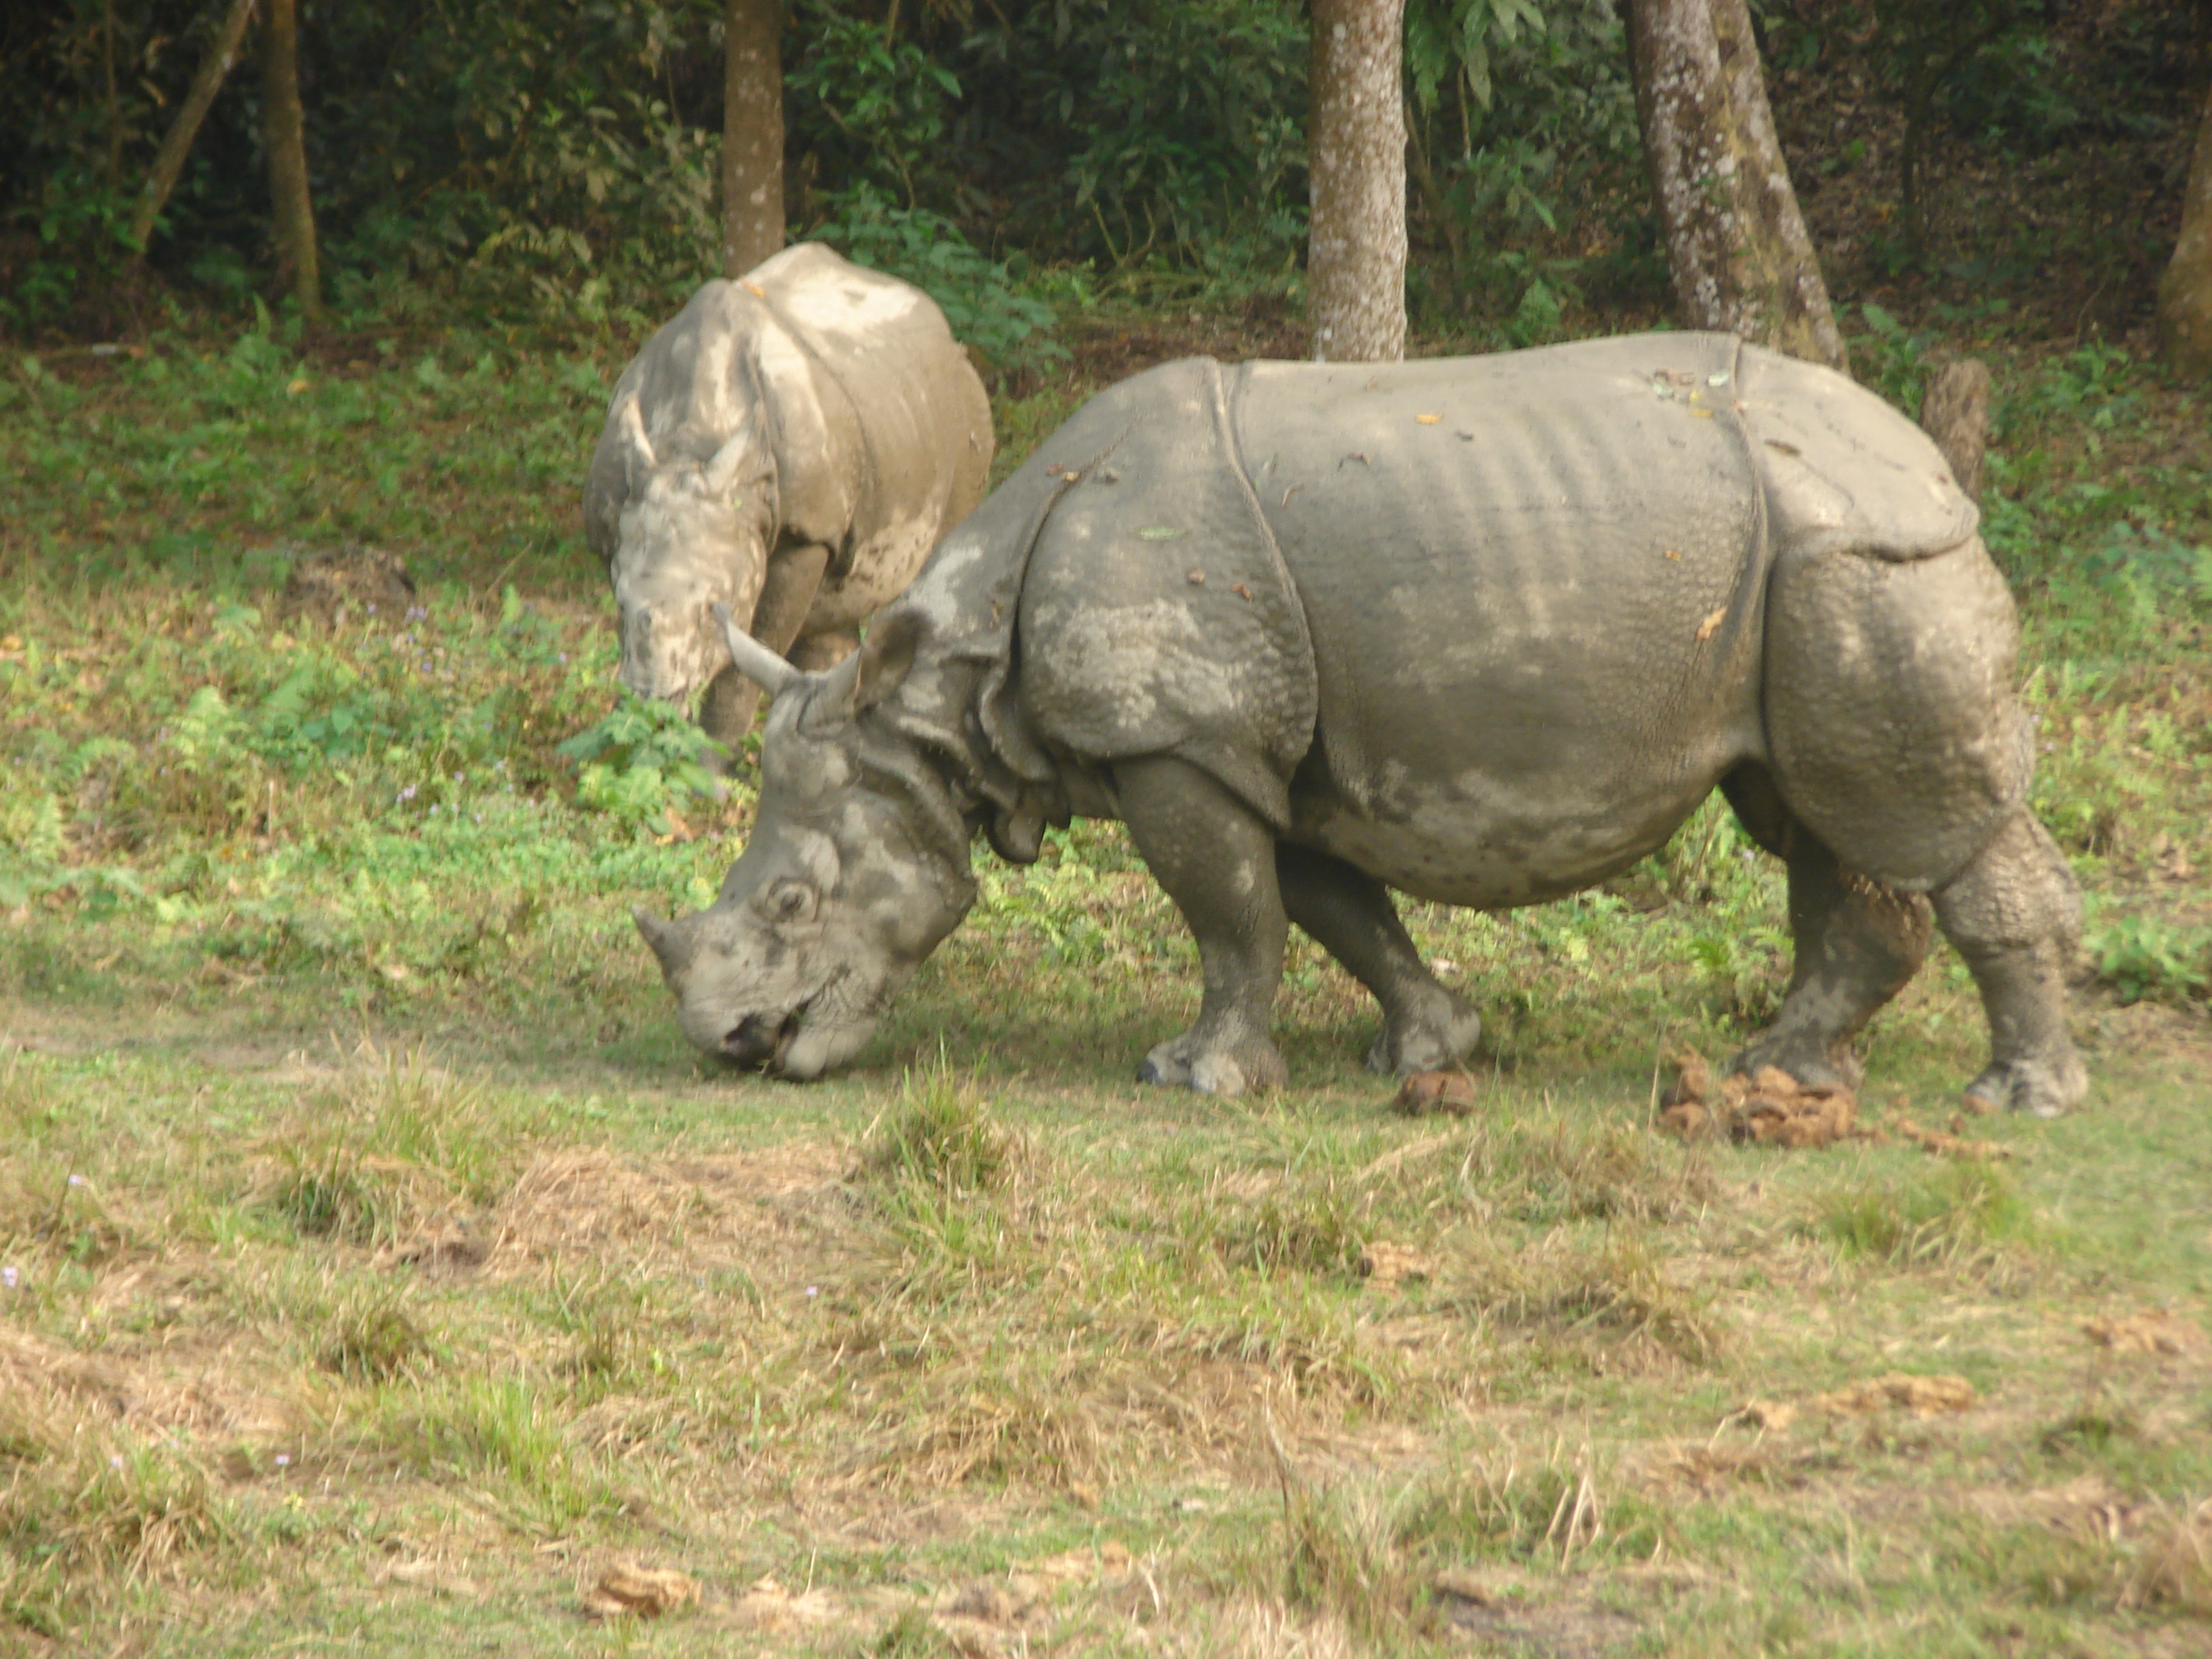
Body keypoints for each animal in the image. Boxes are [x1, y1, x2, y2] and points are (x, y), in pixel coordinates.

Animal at [584, 242, 993, 746]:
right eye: (620, 606)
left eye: (710, 609)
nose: (653, 698)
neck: (688, 449)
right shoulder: (612, 526)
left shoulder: (807, 534)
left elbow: (745, 663)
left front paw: (709, 760)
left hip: (963, 405)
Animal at [632, 333, 2088, 1118]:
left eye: (791, 906)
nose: (728, 1044)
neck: (946, 696)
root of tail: (1928, 457)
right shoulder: (1258, 743)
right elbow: (1329, 903)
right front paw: (1431, 1049)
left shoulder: (1178, 737)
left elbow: (1231, 917)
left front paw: (1196, 1077)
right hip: (1801, 569)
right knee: (1814, 815)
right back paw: (1775, 1078)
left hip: (1862, 555)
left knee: (1908, 821)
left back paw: (2010, 1100)